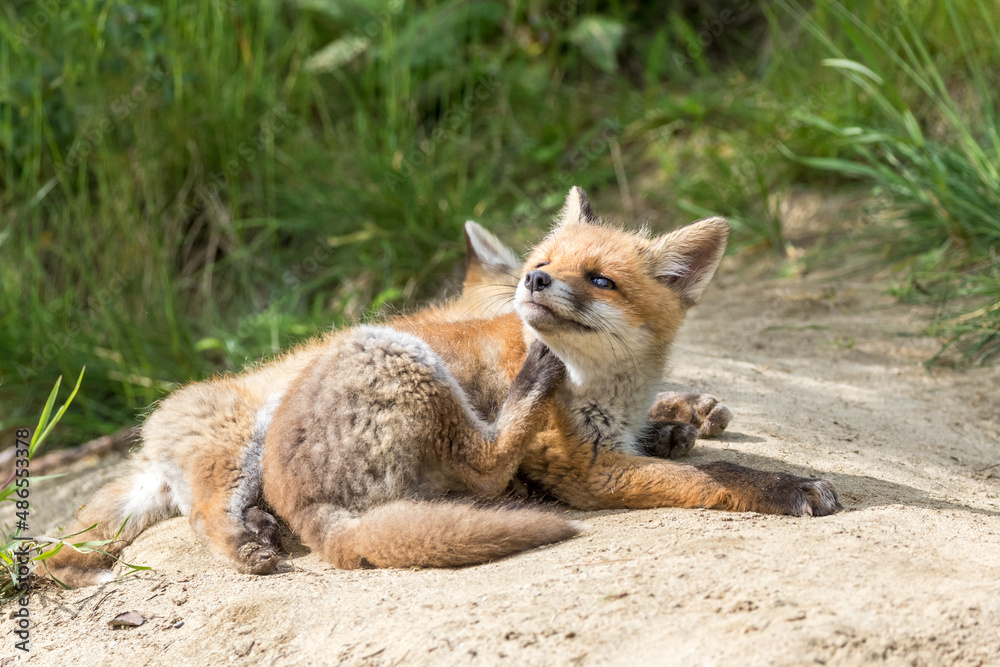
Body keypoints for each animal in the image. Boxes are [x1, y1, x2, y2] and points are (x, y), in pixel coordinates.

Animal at [46, 187, 840, 588]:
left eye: (601, 279)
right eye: (545, 261)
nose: (535, 281)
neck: (612, 387)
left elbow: (677, 438)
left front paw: (682, 416)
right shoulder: (586, 470)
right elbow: (715, 478)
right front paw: (782, 486)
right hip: (374, 380)